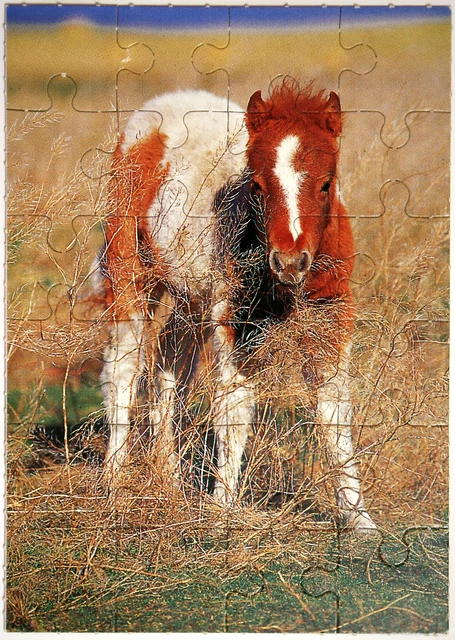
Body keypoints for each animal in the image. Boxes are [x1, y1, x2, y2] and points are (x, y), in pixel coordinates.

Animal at [98, 80, 376, 532]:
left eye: (326, 184)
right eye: (257, 187)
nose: (289, 263)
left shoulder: (331, 313)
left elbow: (334, 412)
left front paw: (359, 518)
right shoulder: (232, 319)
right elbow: (234, 410)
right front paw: (223, 508)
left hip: (190, 296)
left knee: (168, 366)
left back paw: (169, 479)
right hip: (131, 272)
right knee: (123, 368)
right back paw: (113, 483)